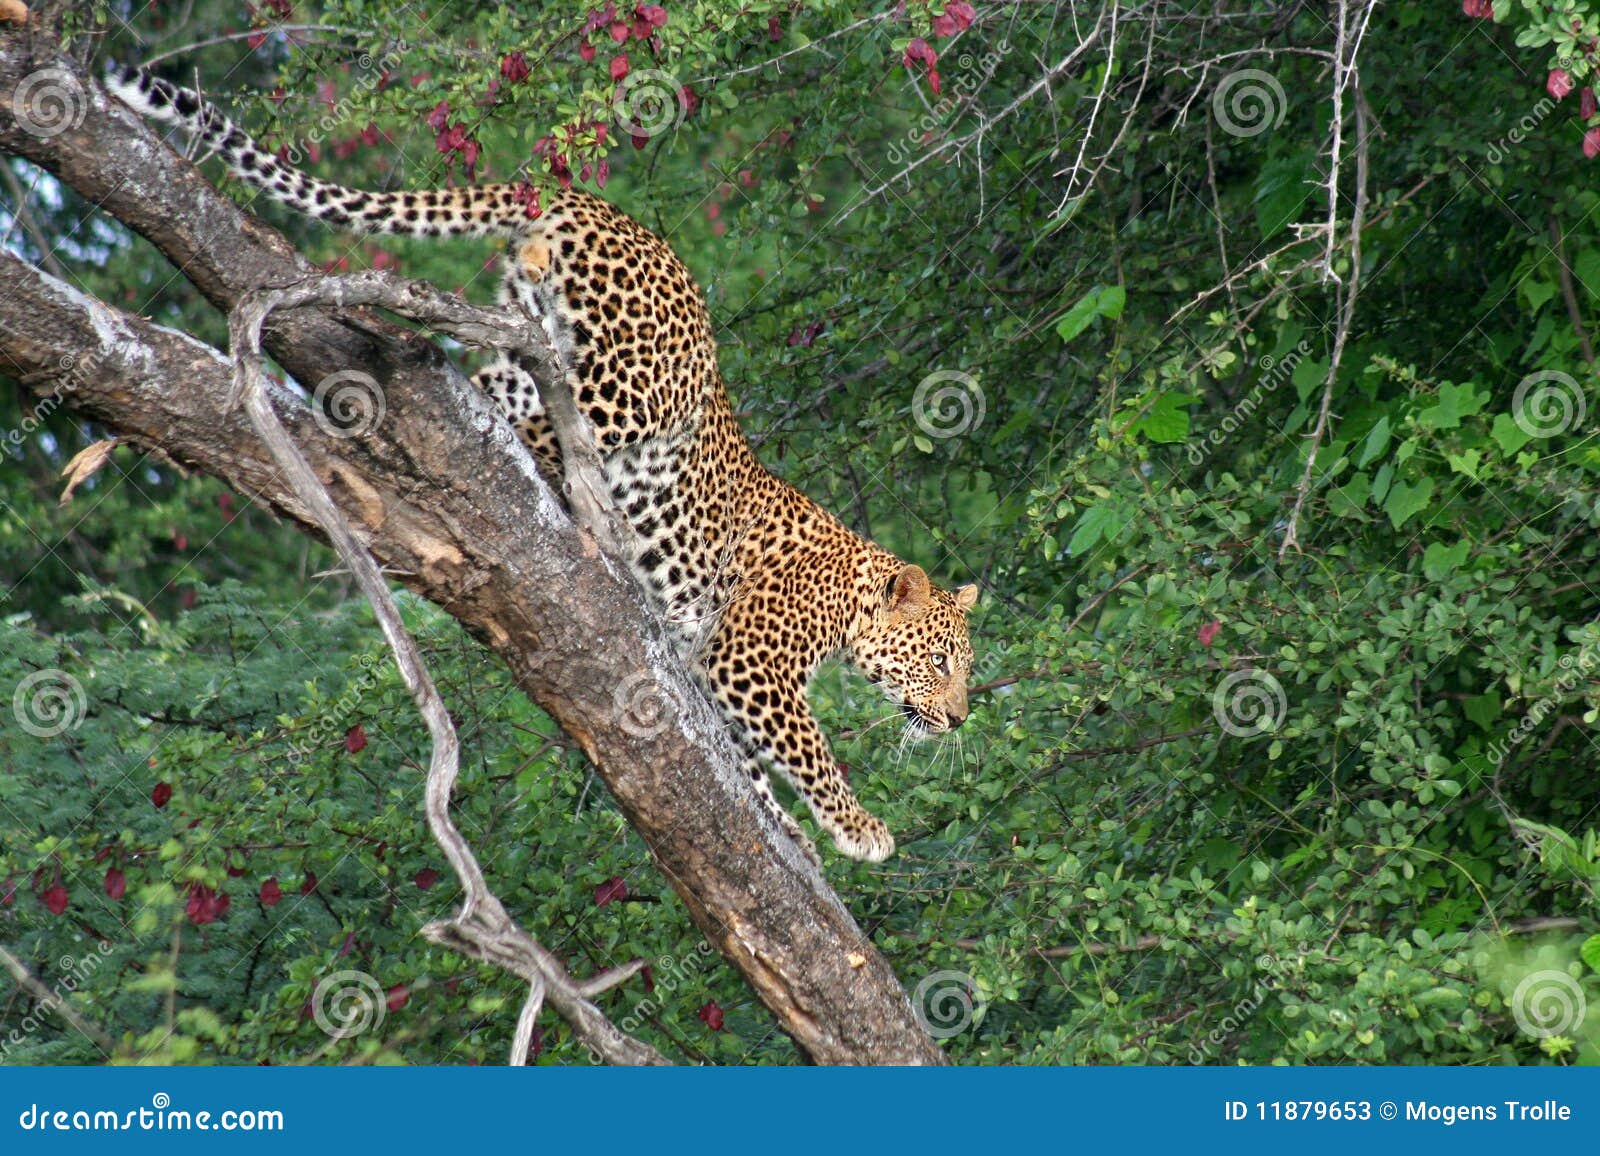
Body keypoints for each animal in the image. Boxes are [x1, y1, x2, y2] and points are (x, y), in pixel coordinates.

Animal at [106, 63, 978, 863]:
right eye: (939, 661)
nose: (962, 717)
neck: (850, 592)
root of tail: (593, 204)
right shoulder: (750, 660)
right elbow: (808, 748)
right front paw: (860, 828)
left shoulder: (708, 665)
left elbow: (748, 767)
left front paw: (788, 826)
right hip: (630, 387)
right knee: (529, 425)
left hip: (534, 337)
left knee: (481, 392)